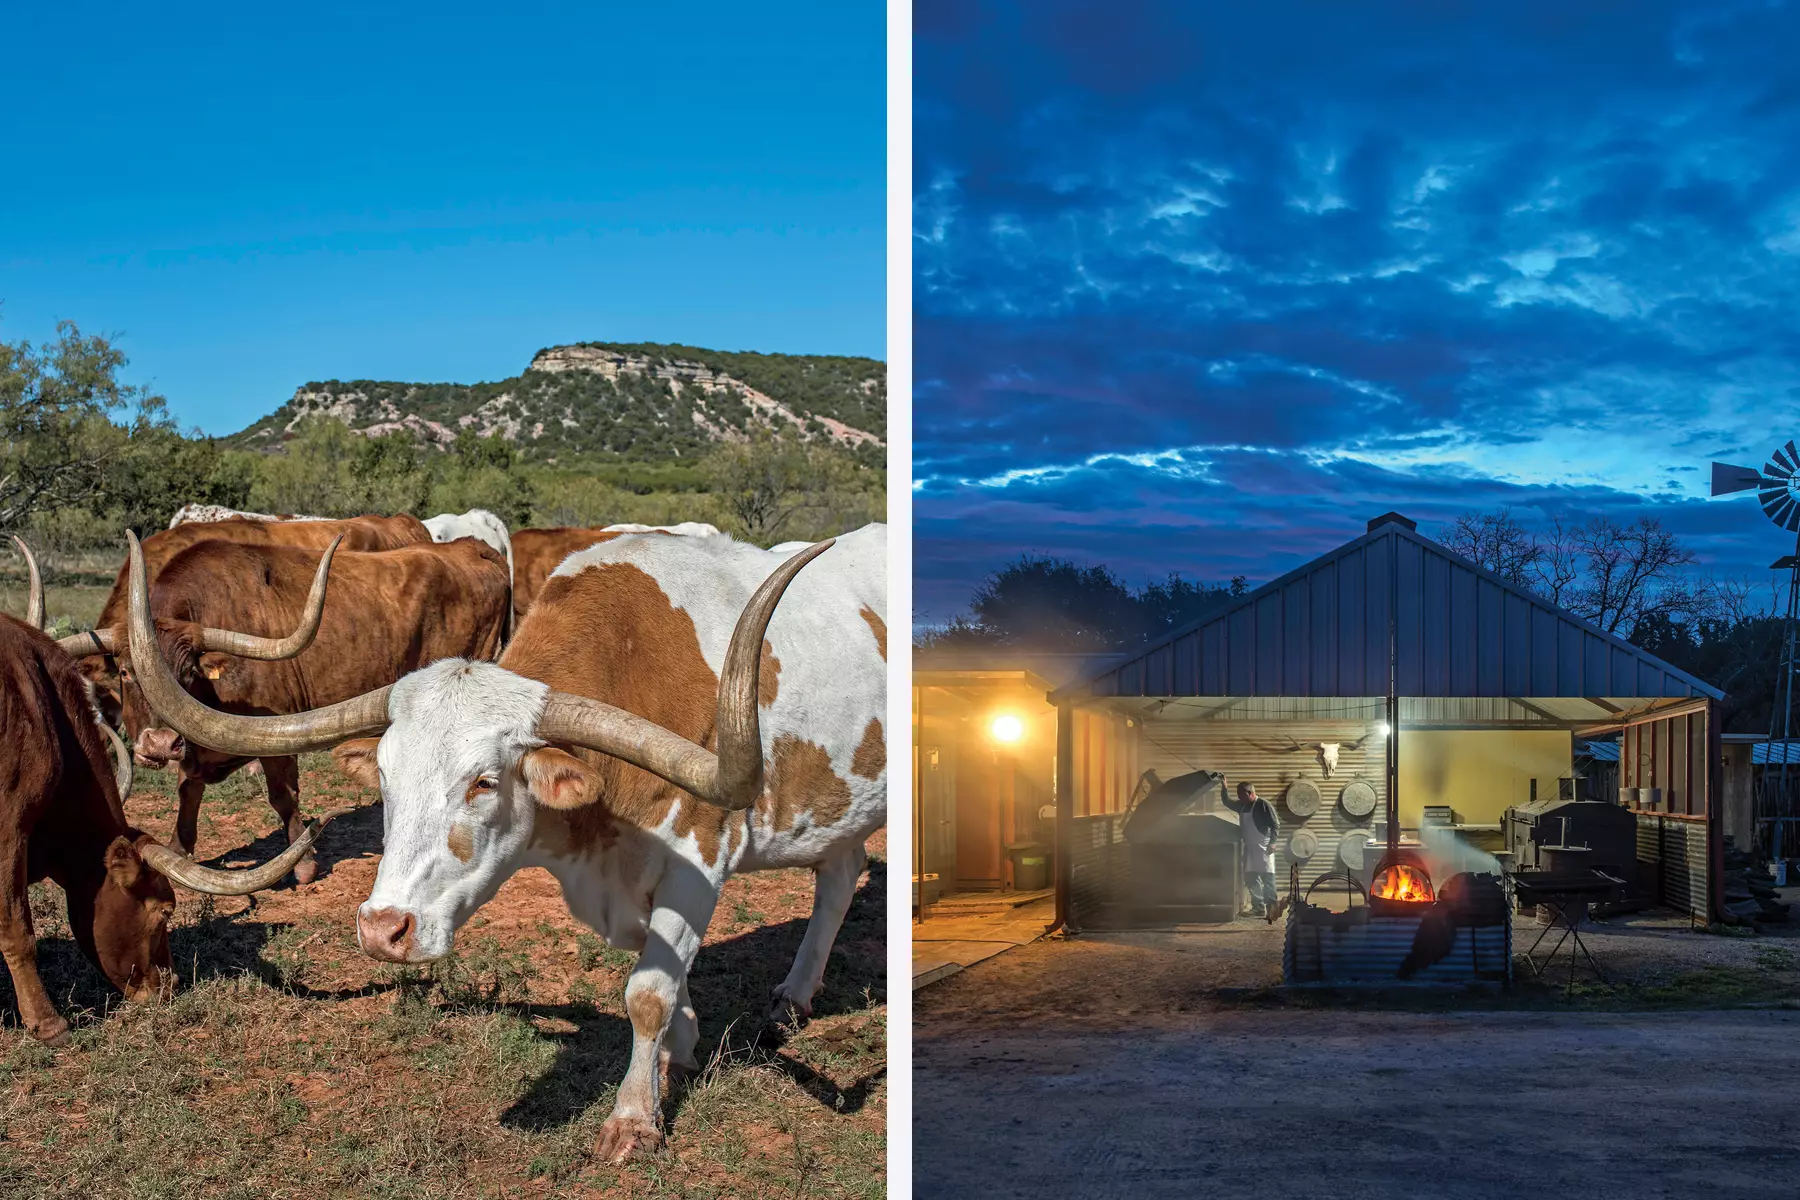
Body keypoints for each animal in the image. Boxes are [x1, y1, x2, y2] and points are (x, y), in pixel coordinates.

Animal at [0, 536, 320, 1043]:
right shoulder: (9, 829)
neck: (43, 713)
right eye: (165, 911)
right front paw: (48, 1023)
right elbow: (17, 929)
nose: (168, 986)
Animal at [107, 539, 507, 888]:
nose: (159, 744)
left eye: (189, 671)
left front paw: (303, 863)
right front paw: (178, 848)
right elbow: (188, 789)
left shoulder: (276, 737)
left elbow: (283, 797)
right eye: (124, 671)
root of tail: (471, 546)